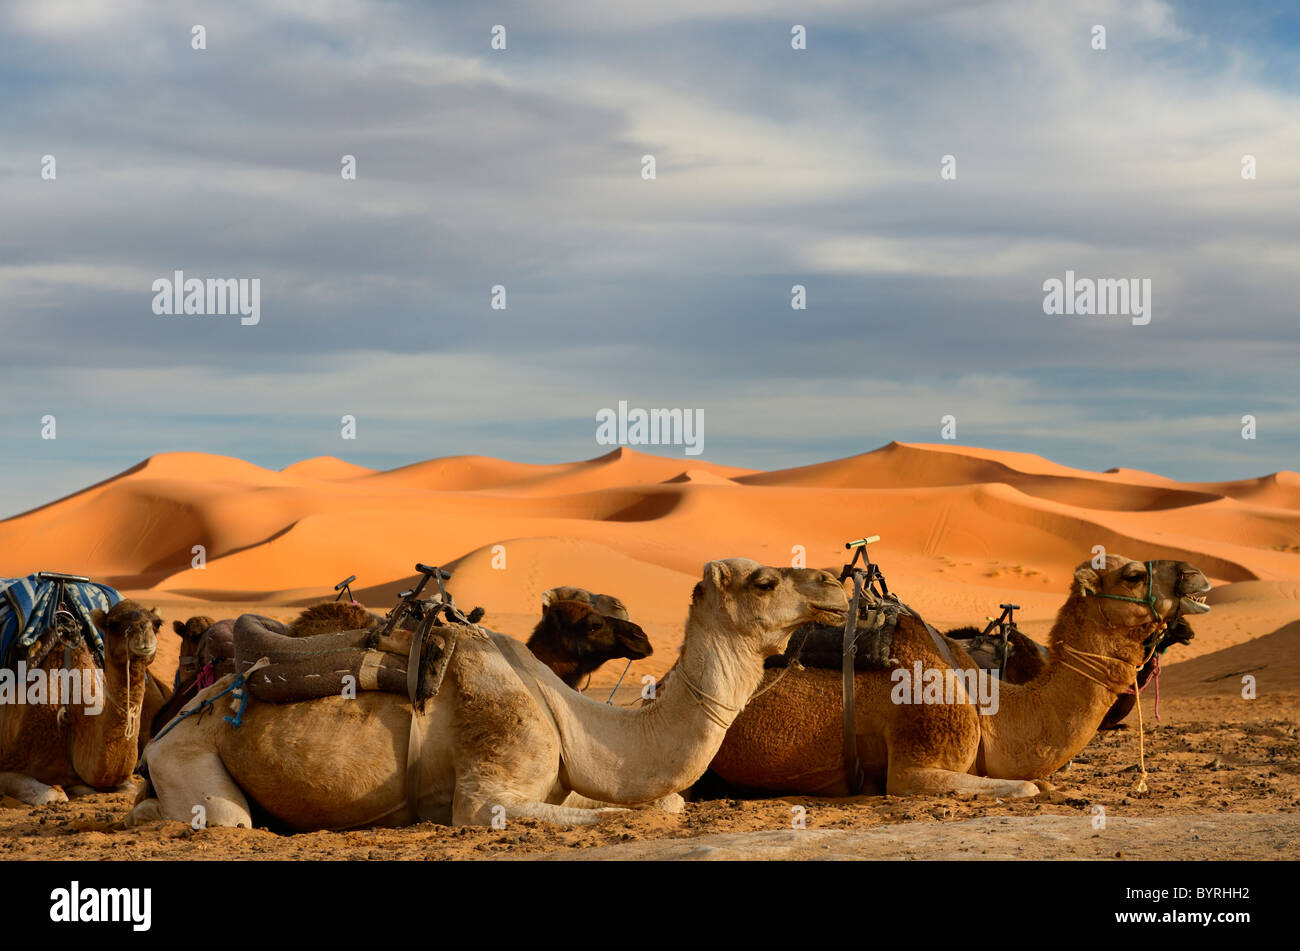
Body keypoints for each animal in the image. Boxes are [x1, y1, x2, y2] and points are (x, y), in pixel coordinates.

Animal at [129, 559, 846, 829]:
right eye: (763, 581)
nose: (836, 583)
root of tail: (176, 718)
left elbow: (663, 802)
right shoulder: (487, 789)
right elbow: (615, 816)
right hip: (186, 752)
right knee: (227, 817)